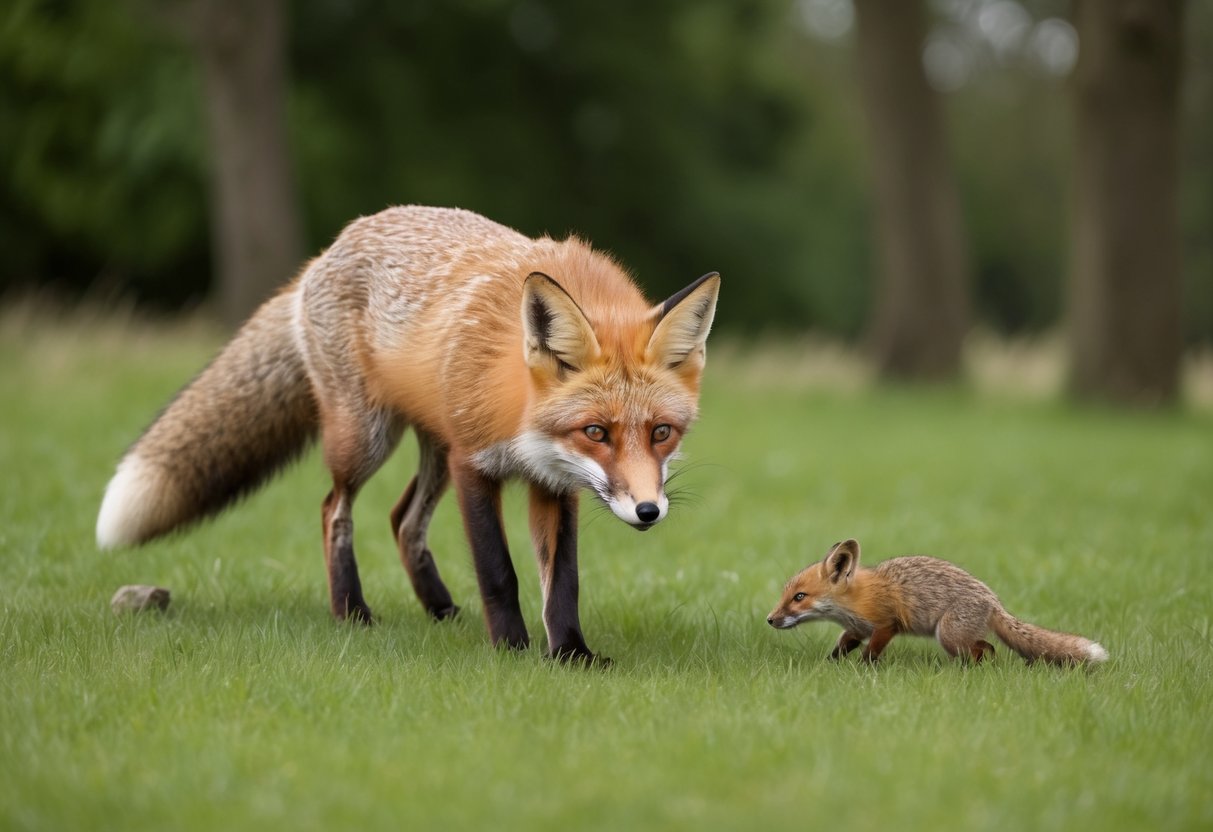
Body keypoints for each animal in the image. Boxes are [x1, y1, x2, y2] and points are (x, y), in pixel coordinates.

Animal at [96, 205, 720, 663]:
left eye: (661, 432)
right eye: (596, 431)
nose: (647, 511)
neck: (517, 406)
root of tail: (326, 252)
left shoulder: (552, 483)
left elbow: (562, 583)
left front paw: (571, 655)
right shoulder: (475, 464)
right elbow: (498, 571)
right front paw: (512, 651)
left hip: (433, 452)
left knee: (403, 521)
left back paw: (441, 612)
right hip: (368, 440)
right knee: (334, 509)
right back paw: (352, 612)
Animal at [767, 539, 1108, 666]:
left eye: (799, 597)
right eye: (787, 595)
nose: (770, 619)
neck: (856, 599)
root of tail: (992, 599)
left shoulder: (887, 624)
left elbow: (871, 653)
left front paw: (865, 670)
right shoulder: (856, 629)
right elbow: (840, 649)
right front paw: (830, 666)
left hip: (948, 636)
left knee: (984, 649)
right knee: (987, 648)